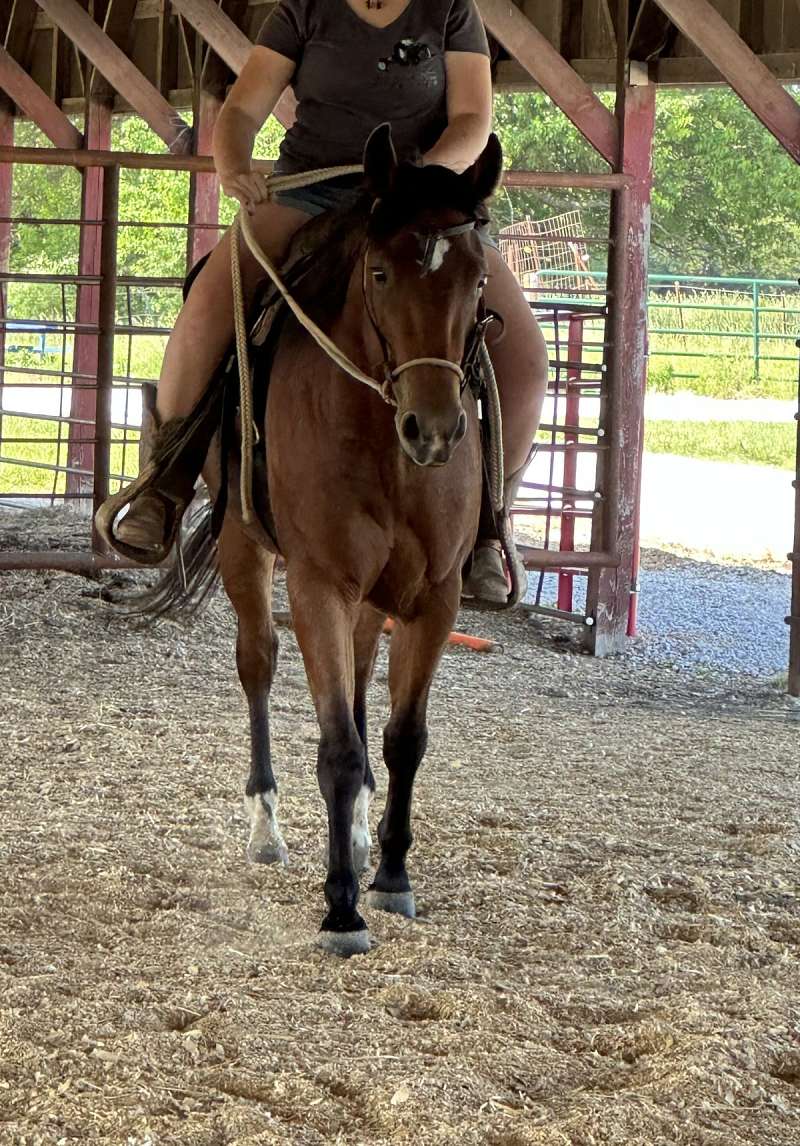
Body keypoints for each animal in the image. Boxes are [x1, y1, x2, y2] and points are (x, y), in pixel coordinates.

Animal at [146, 125, 503, 956]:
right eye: (379, 270)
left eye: (477, 279)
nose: (435, 430)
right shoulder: (319, 585)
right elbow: (338, 747)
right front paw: (342, 906)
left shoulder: (434, 596)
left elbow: (404, 737)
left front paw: (391, 875)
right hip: (246, 547)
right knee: (258, 664)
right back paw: (267, 829)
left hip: (379, 594)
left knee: (365, 681)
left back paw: (366, 836)